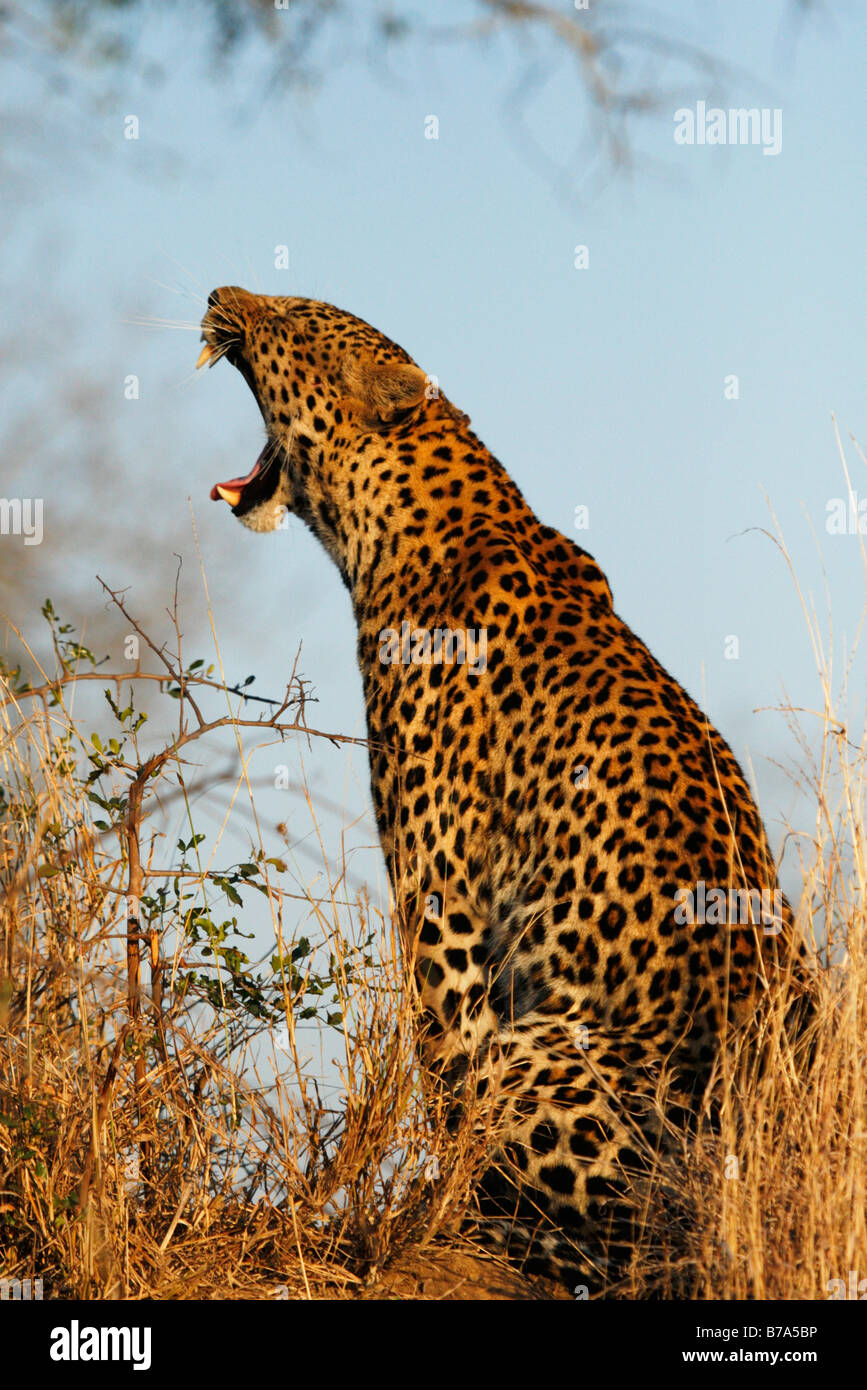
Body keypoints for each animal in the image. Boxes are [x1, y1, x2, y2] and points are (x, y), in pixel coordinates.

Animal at [196, 286, 813, 1287]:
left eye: (289, 316)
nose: (219, 294)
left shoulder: (442, 888)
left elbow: (443, 1061)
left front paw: (441, 1214)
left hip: (547, 1055)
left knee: (632, 1240)